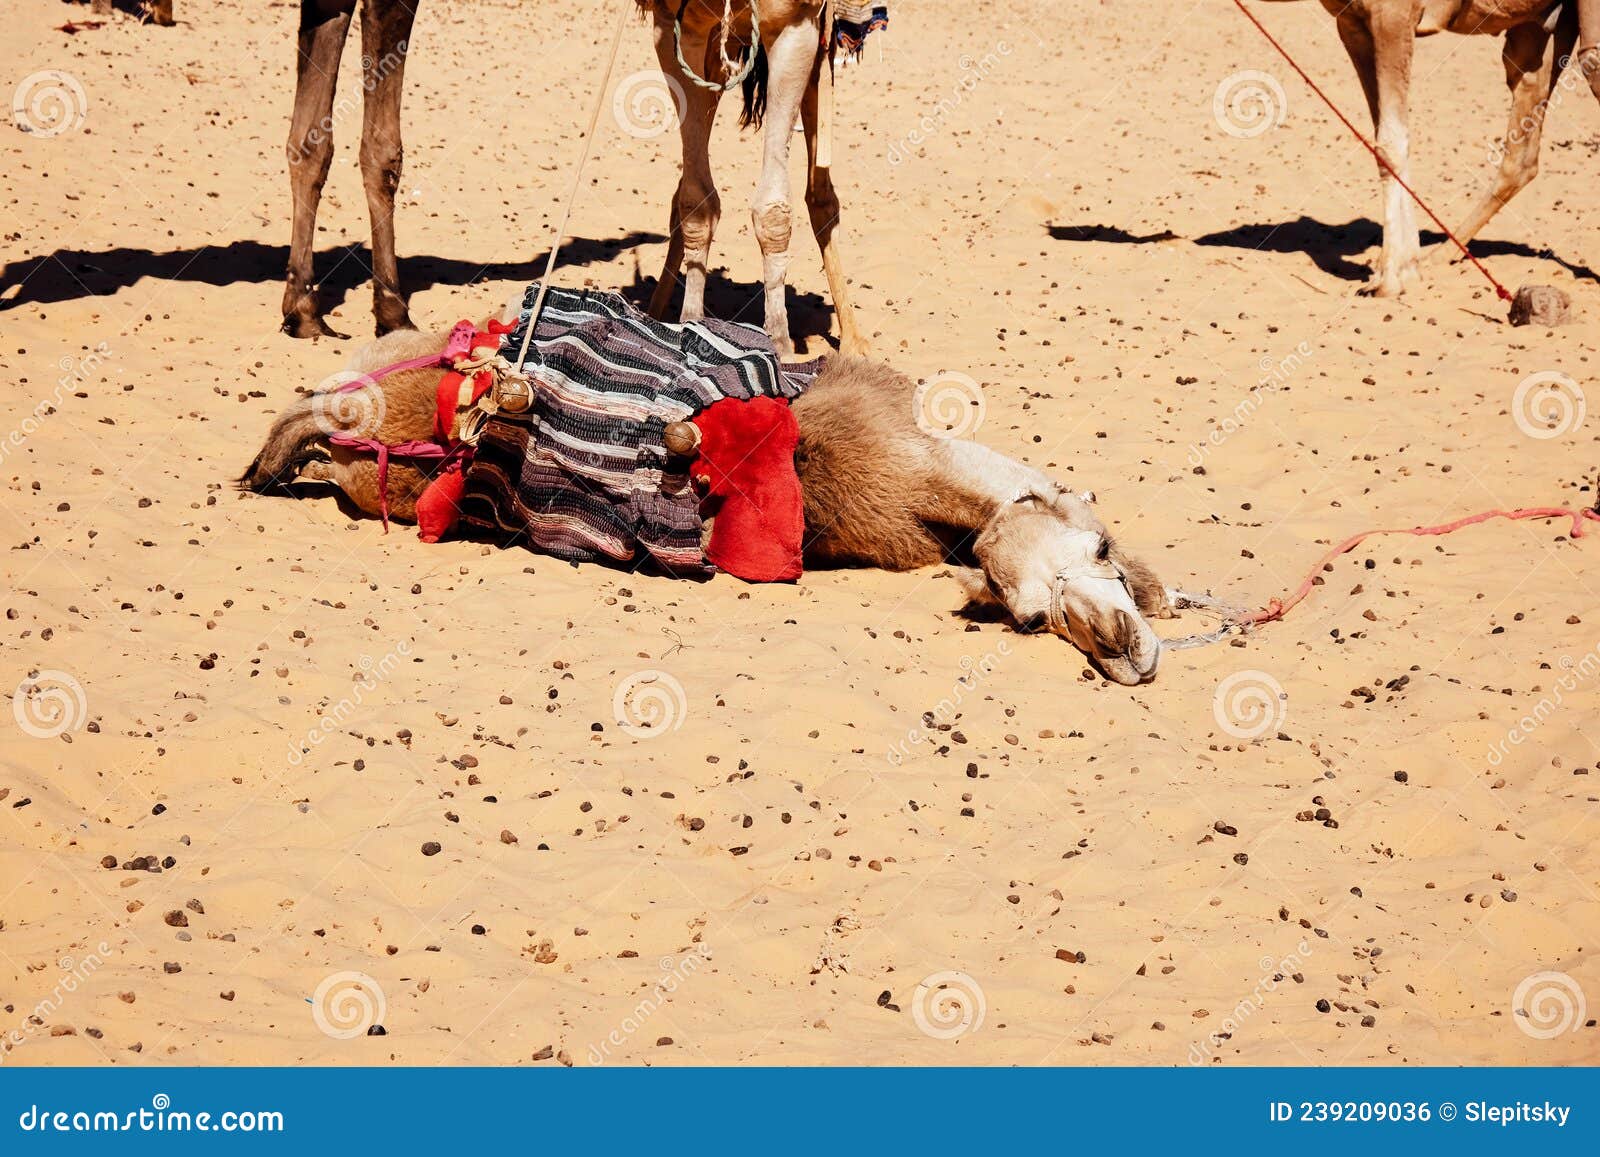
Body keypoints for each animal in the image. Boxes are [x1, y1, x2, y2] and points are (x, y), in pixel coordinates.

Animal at [240, 330, 1173, 684]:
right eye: (1029, 619)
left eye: (1097, 555)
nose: (1119, 647)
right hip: (378, 387)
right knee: (312, 409)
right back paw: (262, 468)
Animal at [641, 0, 867, 357]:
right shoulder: (674, 28)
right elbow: (696, 202)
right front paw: (689, 324)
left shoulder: (797, 26)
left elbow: (772, 211)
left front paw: (779, 344)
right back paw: (655, 310)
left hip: (818, 49)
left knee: (821, 194)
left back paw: (854, 343)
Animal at [1273, 0, 1600, 296]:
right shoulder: (1351, 23)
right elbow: (1389, 136)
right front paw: (1407, 268)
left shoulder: (1392, 15)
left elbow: (1389, 142)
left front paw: (1389, 278)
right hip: (1539, 29)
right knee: (1523, 142)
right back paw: (1441, 256)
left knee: (1590, 60)